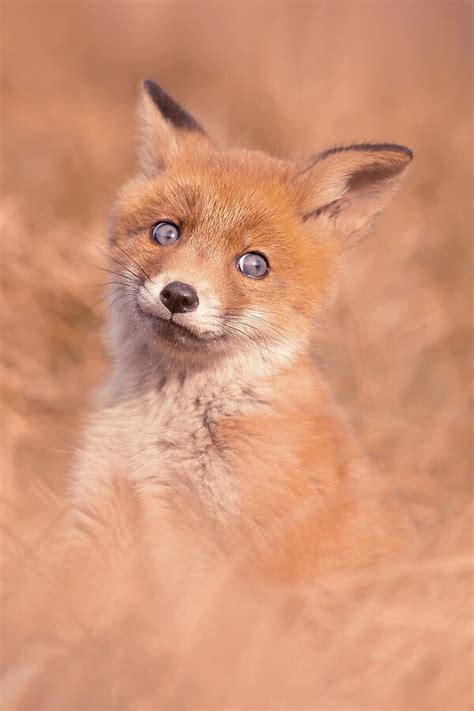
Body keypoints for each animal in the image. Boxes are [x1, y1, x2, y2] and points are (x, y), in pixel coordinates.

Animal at [71, 79, 413, 583]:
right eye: (165, 233)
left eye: (254, 265)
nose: (179, 296)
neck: (162, 428)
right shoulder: (98, 509)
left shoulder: (242, 558)